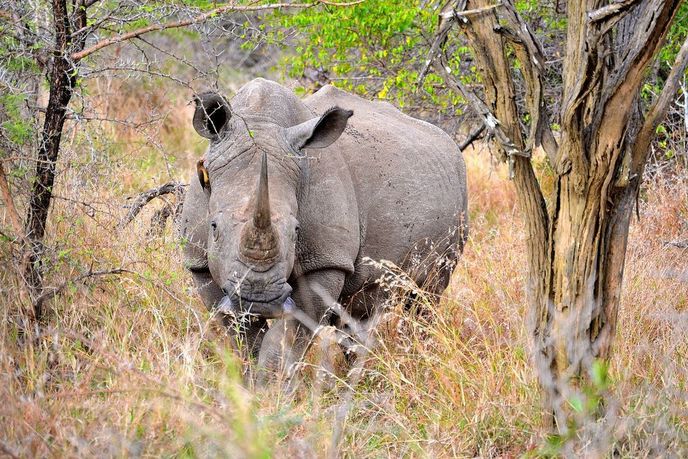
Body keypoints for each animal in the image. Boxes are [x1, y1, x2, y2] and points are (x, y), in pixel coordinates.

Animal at [180, 78, 467, 378]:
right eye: (214, 227)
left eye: (296, 231)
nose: (258, 298)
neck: (261, 121)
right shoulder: (200, 263)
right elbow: (244, 338)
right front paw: (250, 385)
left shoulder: (325, 260)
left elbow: (285, 340)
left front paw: (272, 387)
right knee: (357, 314)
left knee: (426, 295)